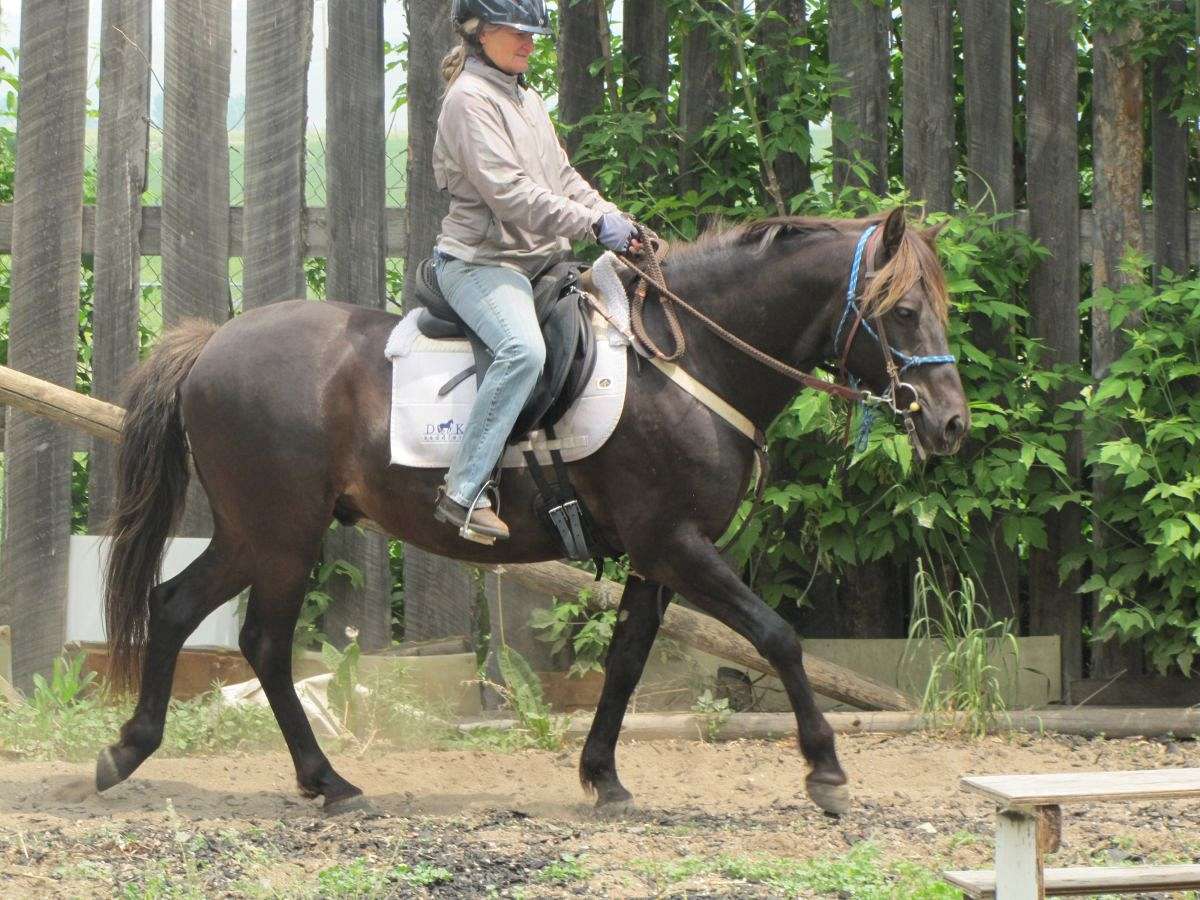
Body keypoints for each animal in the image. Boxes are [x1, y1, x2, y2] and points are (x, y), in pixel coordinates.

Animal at [95, 206, 968, 816]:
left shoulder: (655, 556)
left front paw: (602, 776)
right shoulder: (677, 543)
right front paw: (826, 769)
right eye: (900, 311)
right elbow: (778, 636)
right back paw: (323, 779)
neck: (685, 360)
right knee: (263, 643)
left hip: (255, 535)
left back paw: (136, 751)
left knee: (177, 607)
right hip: (280, 536)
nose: (950, 423)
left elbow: (626, 659)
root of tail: (213, 345)